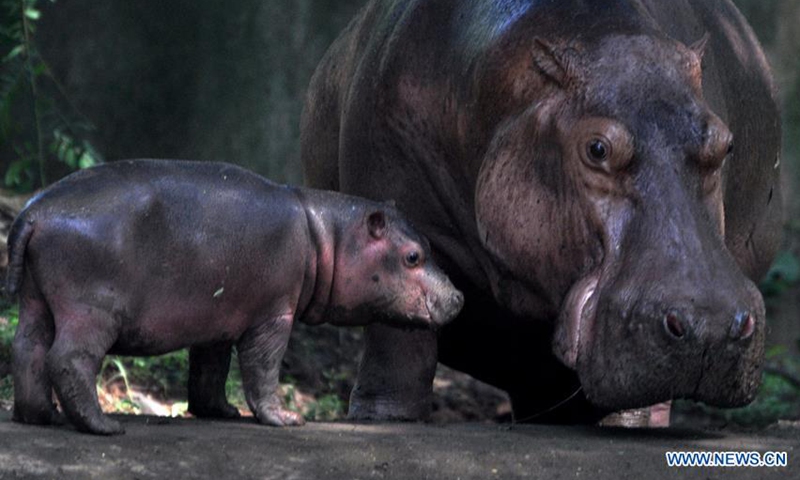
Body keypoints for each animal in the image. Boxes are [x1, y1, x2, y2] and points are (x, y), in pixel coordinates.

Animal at [7, 159, 464, 435]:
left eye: (426, 246)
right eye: (413, 255)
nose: (459, 297)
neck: (328, 235)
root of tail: (33, 212)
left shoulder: (218, 315)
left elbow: (209, 369)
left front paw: (221, 412)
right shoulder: (272, 315)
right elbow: (262, 367)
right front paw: (286, 420)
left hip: (35, 301)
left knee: (28, 349)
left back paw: (41, 417)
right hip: (92, 310)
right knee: (68, 358)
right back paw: (104, 426)